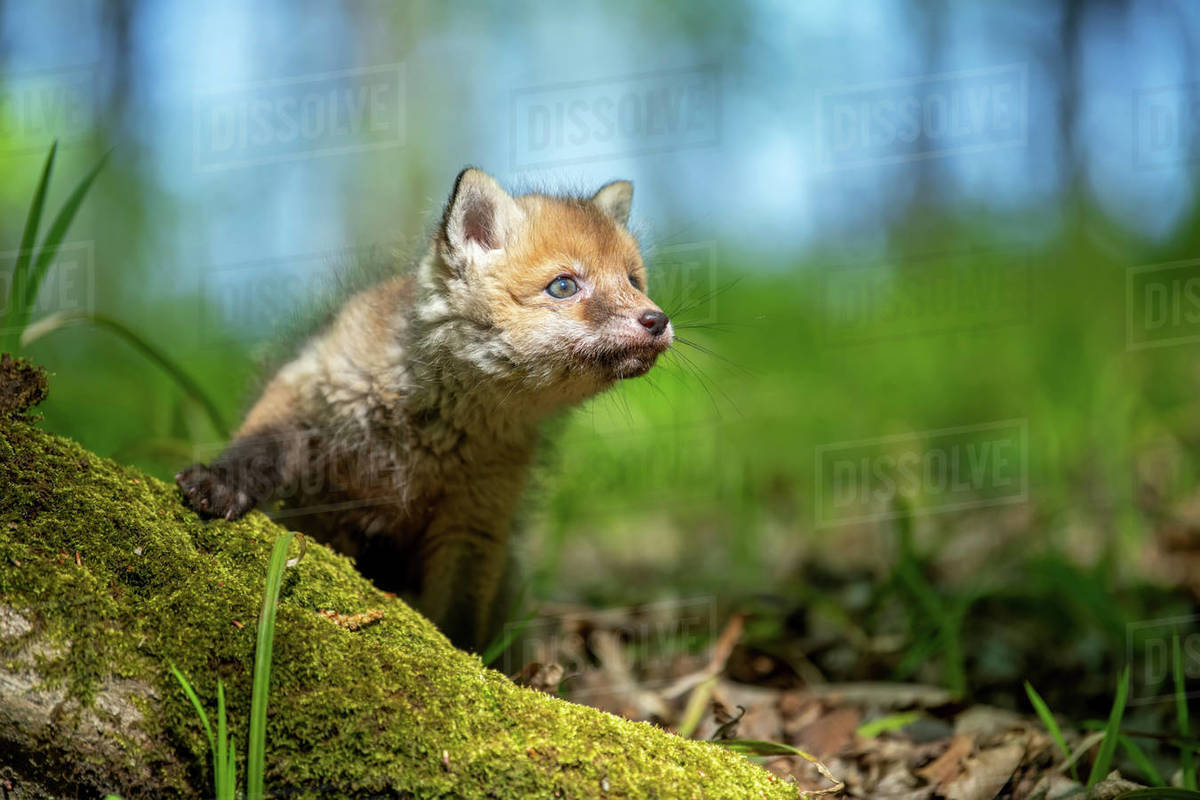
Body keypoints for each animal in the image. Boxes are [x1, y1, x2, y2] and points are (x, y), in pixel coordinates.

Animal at [176, 168, 673, 651]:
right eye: (564, 285)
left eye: (633, 281)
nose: (658, 320)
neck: (430, 427)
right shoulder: (307, 386)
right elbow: (260, 445)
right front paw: (219, 483)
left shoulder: (475, 520)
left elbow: (456, 618)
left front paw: (466, 662)